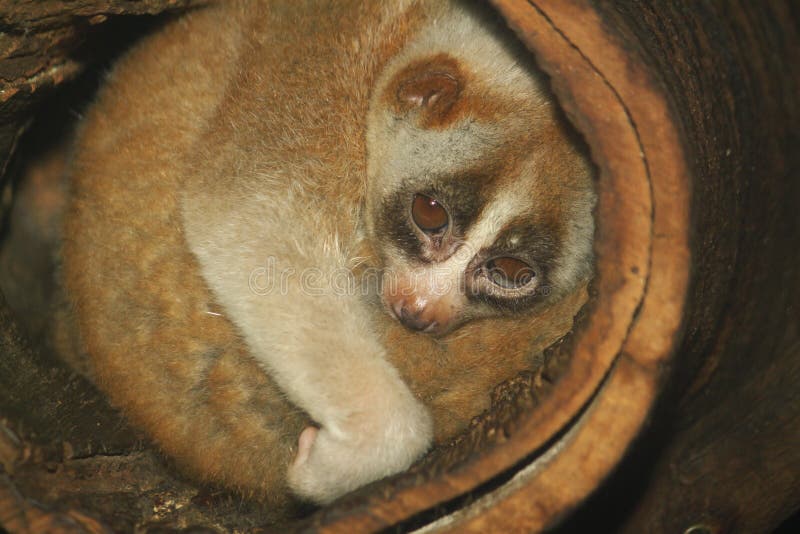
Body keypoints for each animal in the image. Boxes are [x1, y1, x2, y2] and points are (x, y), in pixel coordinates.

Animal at [57, 0, 595, 512]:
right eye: (430, 213)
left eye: (510, 272)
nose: (418, 312)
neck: (408, 26)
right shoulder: (323, 69)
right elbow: (249, 206)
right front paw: (358, 451)